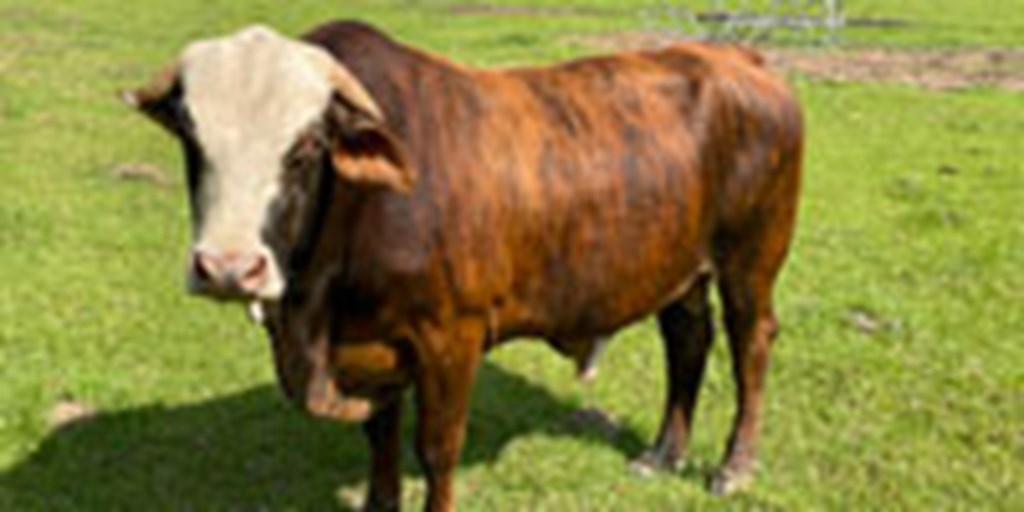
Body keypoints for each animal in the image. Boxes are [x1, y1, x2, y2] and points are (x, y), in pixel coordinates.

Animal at [123, 20, 802, 511]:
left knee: (751, 346)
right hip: (678, 269)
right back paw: (663, 453)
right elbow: (380, 442)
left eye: (308, 145)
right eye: (191, 136)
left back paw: (733, 466)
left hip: (750, 262)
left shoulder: (451, 337)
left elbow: (436, 449)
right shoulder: (375, 348)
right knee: (688, 341)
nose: (227, 267)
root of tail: (740, 58)